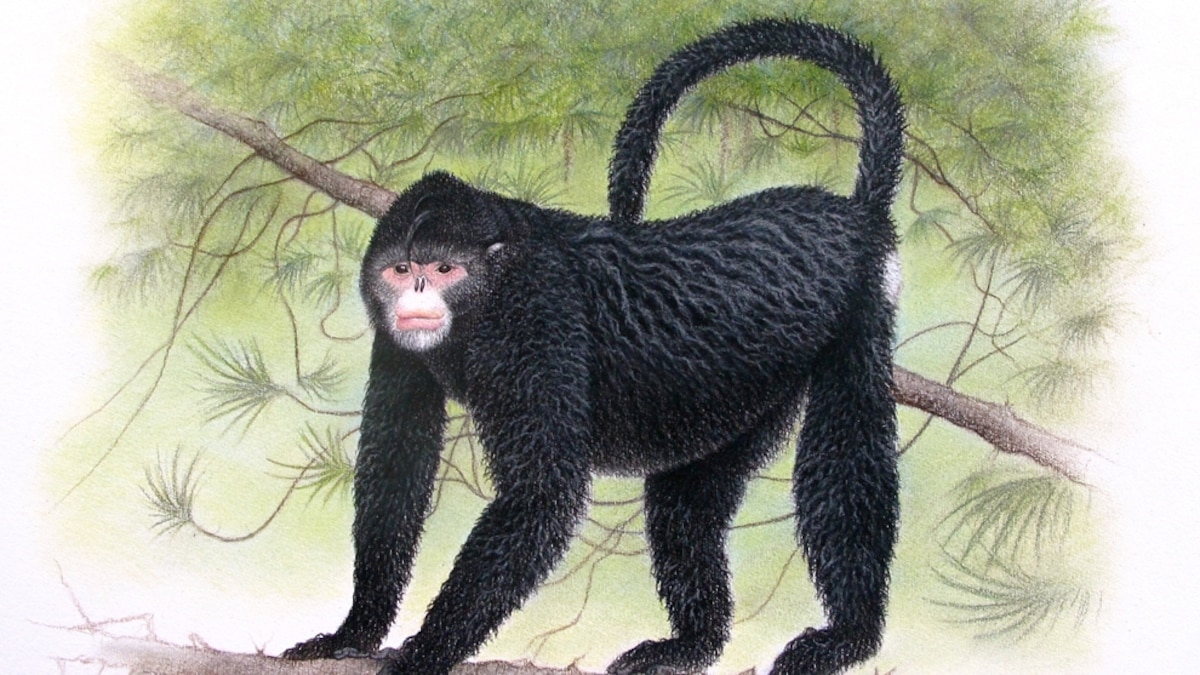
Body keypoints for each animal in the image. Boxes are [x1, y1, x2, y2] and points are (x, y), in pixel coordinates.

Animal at [282, 17, 903, 675]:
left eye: (445, 269)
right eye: (402, 270)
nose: (417, 297)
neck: (495, 283)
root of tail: (852, 214)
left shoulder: (536, 312)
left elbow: (541, 496)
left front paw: (424, 652)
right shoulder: (397, 338)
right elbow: (395, 471)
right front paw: (354, 632)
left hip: (861, 305)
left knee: (846, 445)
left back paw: (849, 636)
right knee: (687, 498)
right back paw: (694, 643)